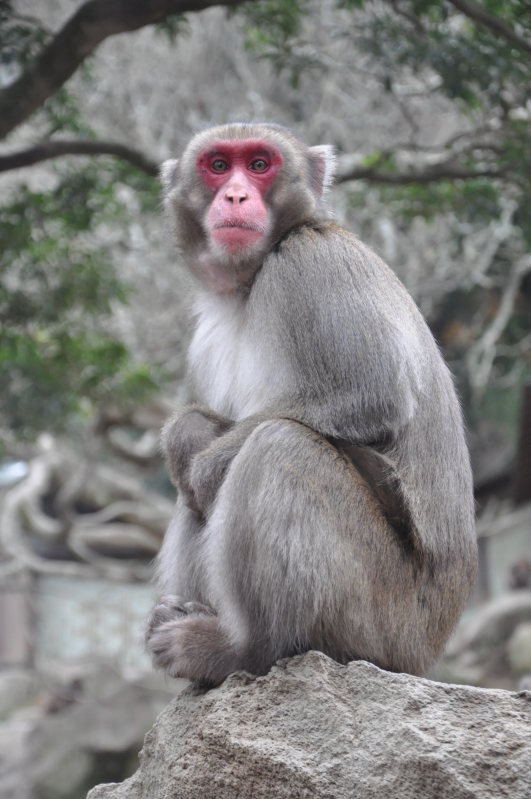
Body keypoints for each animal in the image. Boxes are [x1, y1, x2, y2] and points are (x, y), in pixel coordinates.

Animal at [145, 122, 477, 687]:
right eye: (218, 165)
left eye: (259, 165)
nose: (235, 195)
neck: (251, 282)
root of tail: (428, 653)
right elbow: (205, 432)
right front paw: (185, 433)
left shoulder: (311, 266)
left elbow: (372, 392)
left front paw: (204, 465)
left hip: (383, 615)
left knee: (277, 446)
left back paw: (241, 650)